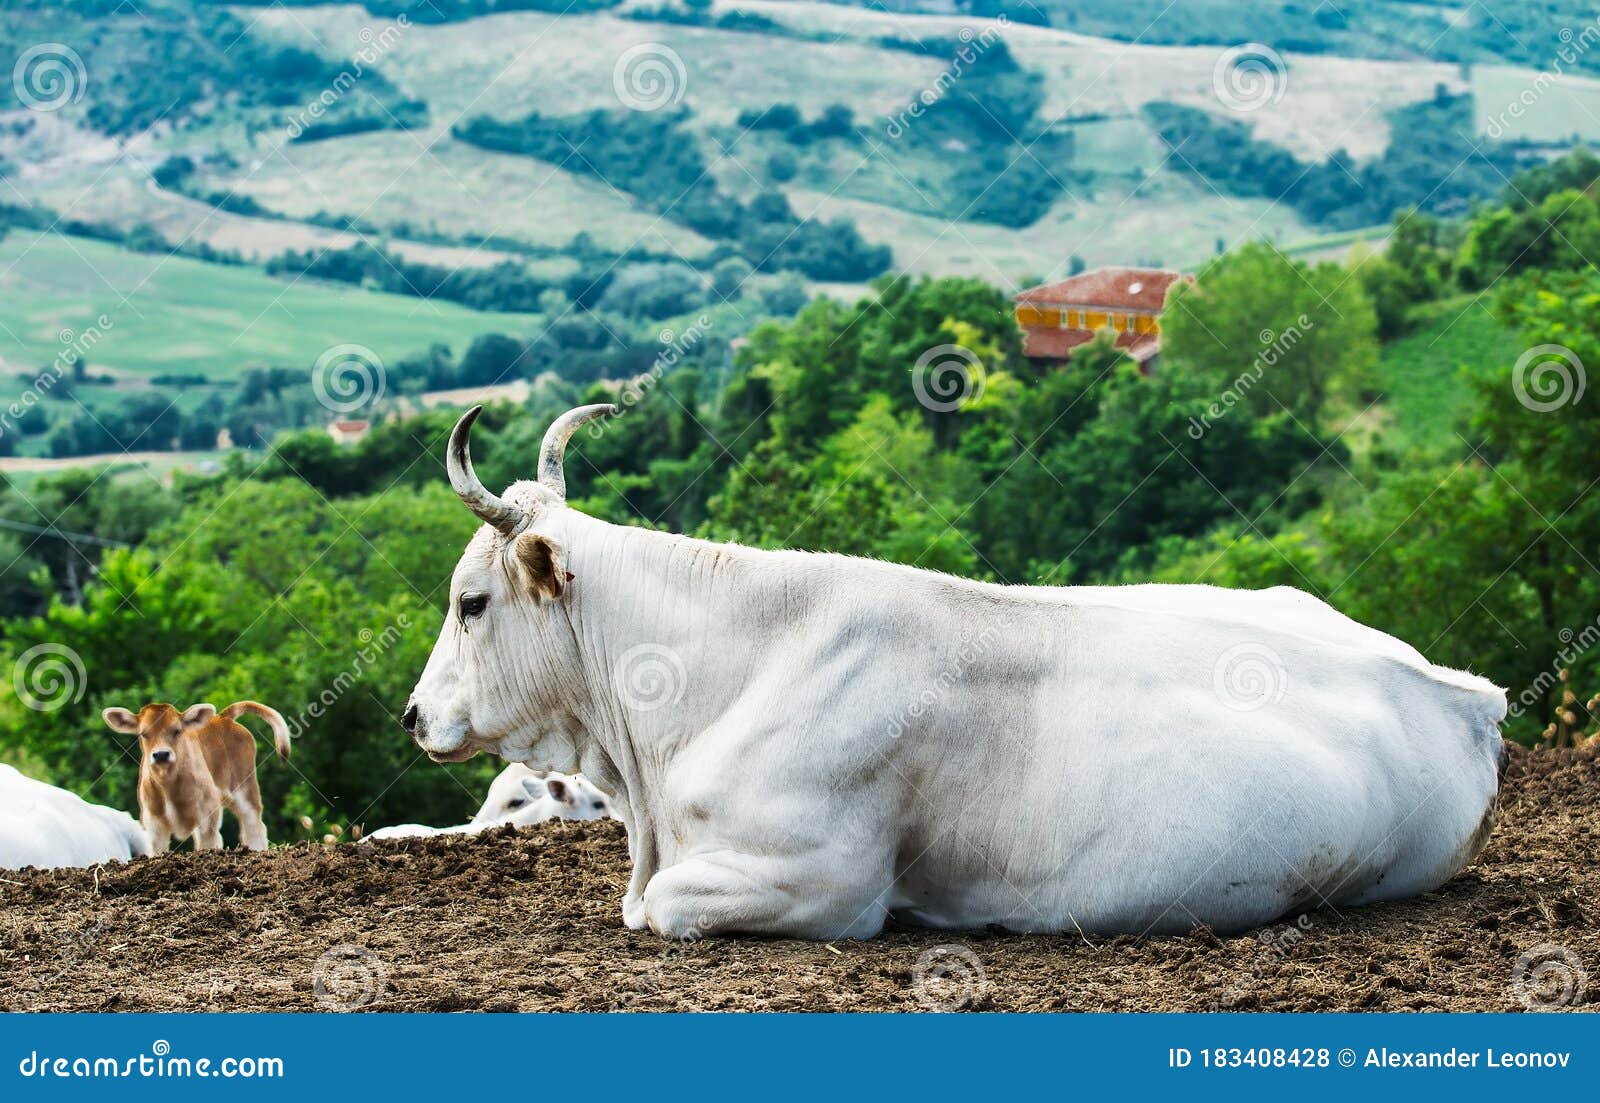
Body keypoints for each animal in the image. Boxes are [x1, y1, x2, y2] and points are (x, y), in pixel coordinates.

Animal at [102, 701, 290, 853]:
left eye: (176, 731)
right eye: (143, 734)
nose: (161, 754)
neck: (169, 785)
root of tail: (223, 717)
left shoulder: (208, 814)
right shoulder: (153, 821)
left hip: (245, 789)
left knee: (254, 826)